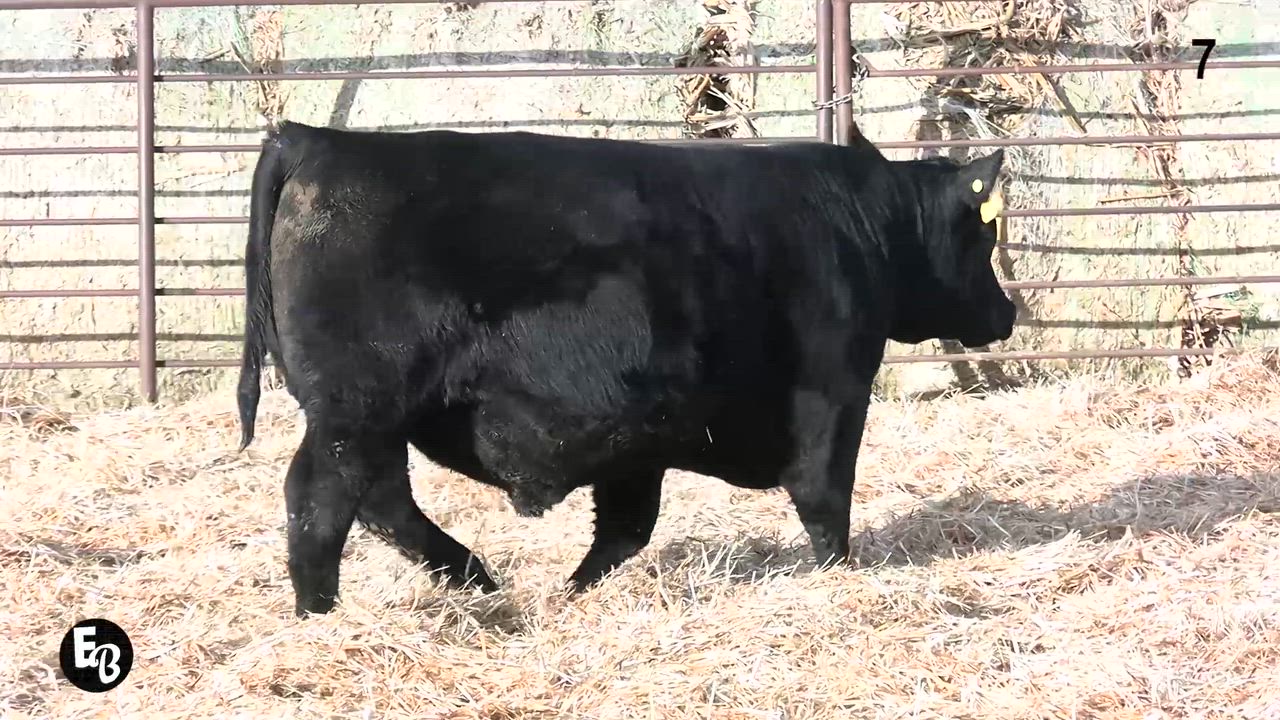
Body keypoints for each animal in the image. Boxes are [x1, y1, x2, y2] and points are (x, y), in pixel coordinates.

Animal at [236, 119, 1016, 617]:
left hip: (370, 416)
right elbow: (827, 500)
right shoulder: (832, 395)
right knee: (324, 501)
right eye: (983, 238)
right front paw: (838, 577)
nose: (1007, 314)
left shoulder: (639, 432)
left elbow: (625, 529)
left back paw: (477, 581)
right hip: (358, 409)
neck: (866, 225)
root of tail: (314, 138)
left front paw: (573, 595)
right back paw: (320, 614)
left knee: (381, 501)